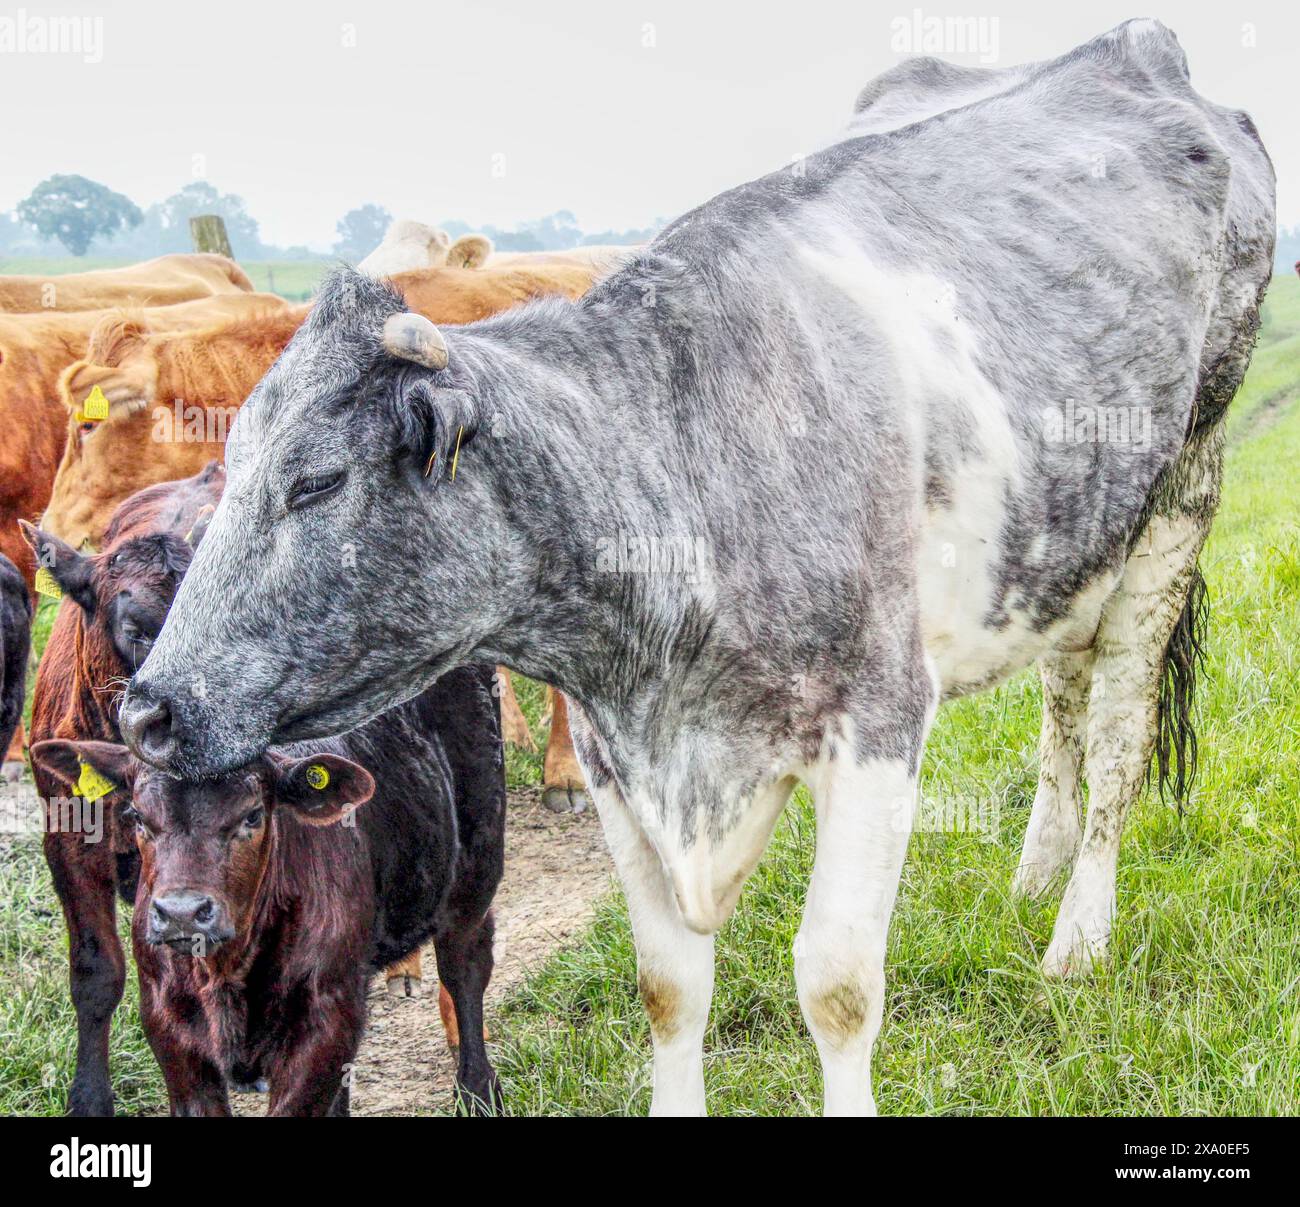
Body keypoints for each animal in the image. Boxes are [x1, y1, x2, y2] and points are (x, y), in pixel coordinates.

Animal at [31, 655, 505, 1116]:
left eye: (253, 815)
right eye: (136, 817)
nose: (183, 913)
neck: (226, 973)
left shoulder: (325, 1019)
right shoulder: (170, 1027)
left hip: (475, 872)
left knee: (464, 967)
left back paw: (479, 1093)